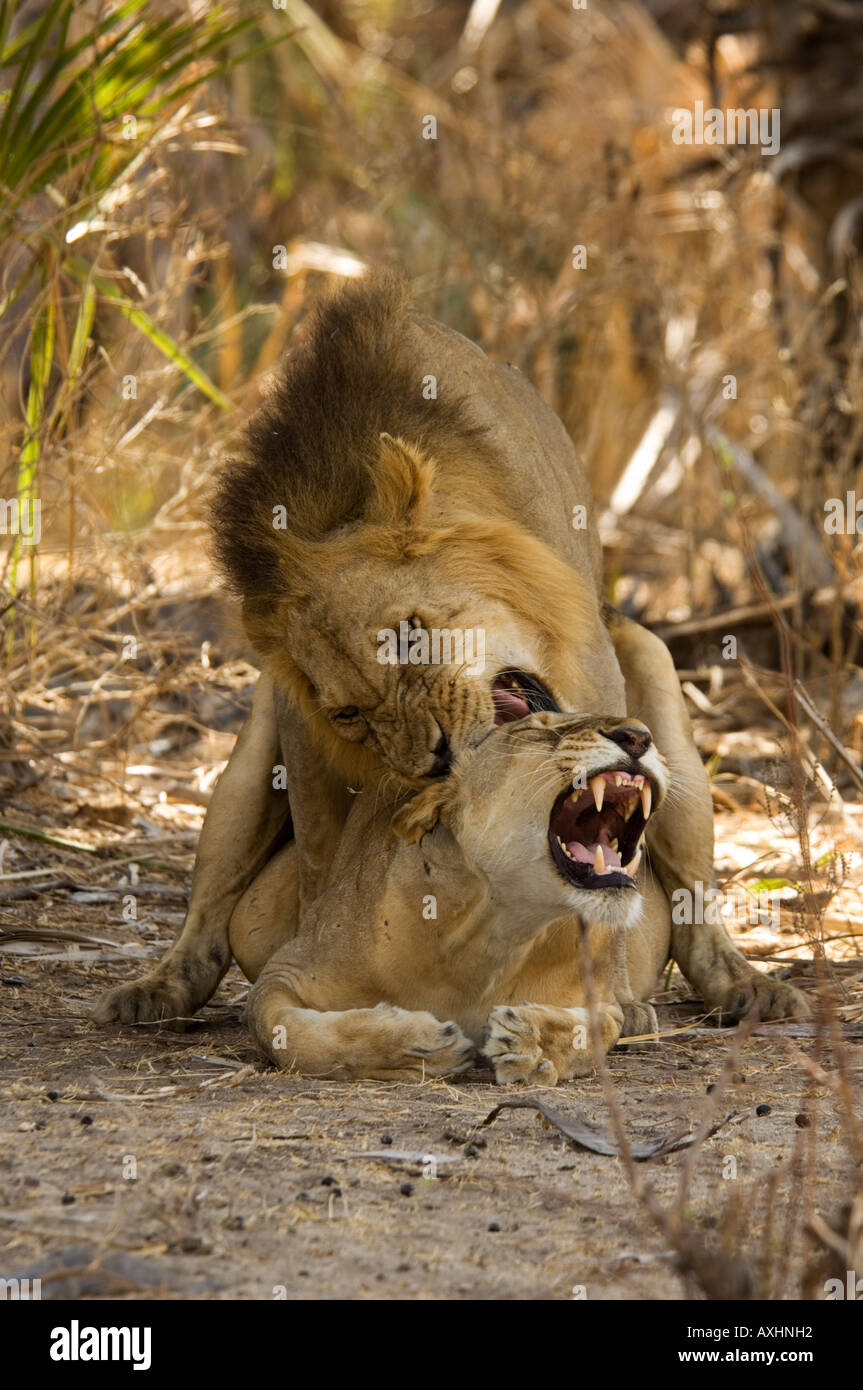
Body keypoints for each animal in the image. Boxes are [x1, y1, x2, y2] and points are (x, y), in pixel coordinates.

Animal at [94, 272, 806, 1031]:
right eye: (348, 715)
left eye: (409, 635)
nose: (436, 756)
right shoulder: (302, 736)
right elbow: (321, 856)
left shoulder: (598, 680)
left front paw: (608, 997)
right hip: (241, 772)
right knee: (207, 916)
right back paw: (153, 991)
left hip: (655, 676)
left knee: (695, 907)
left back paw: (748, 988)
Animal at [229, 712, 670, 1082]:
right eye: (536, 729)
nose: (638, 736)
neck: (498, 931)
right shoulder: (284, 972)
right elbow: (289, 1035)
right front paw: (418, 1047)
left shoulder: (595, 997)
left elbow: (597, 1027)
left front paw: (529, 1043)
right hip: (248, 919)